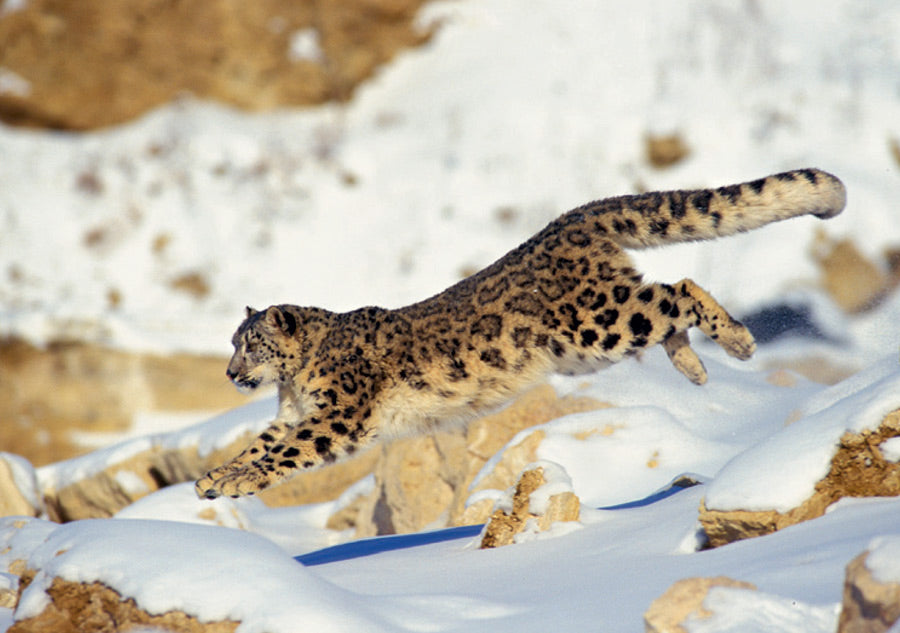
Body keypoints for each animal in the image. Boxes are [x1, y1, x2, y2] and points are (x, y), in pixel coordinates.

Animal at [196, 168, 846, 499]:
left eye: (249, 344)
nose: (231, 374)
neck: (294, 382)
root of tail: (572, 220)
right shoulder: (290, 412)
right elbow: (261, 442)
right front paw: (214, 476)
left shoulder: (339, 413)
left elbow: (288, 451)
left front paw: (237, 482)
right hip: (598, 334)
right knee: (668, 305)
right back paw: (696, 367)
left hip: (597, 322)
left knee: (679, 288)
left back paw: (736, 340)